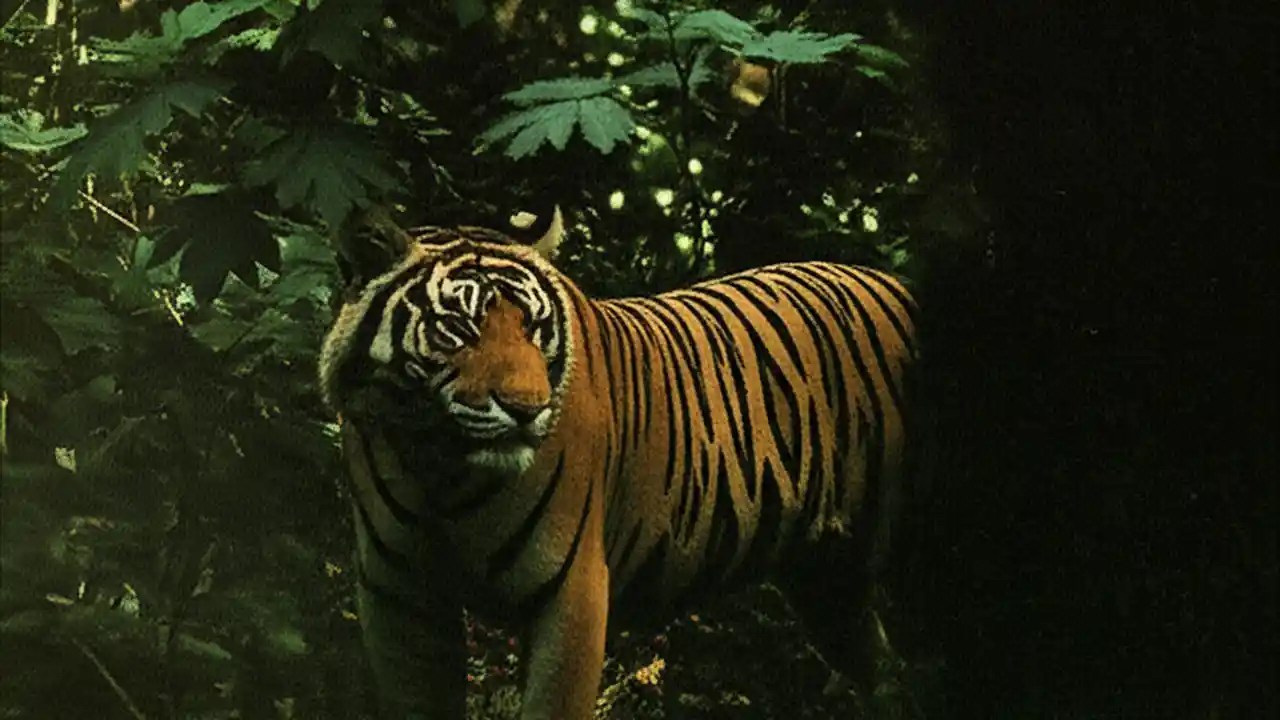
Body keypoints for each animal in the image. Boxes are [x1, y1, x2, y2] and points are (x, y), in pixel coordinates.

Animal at [318, 207, 918, 719]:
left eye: (533, 328)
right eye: (461, 329)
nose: (527, 409)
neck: (435, 468)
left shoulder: (570, 593)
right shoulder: (399, 598)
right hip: (829, 583)